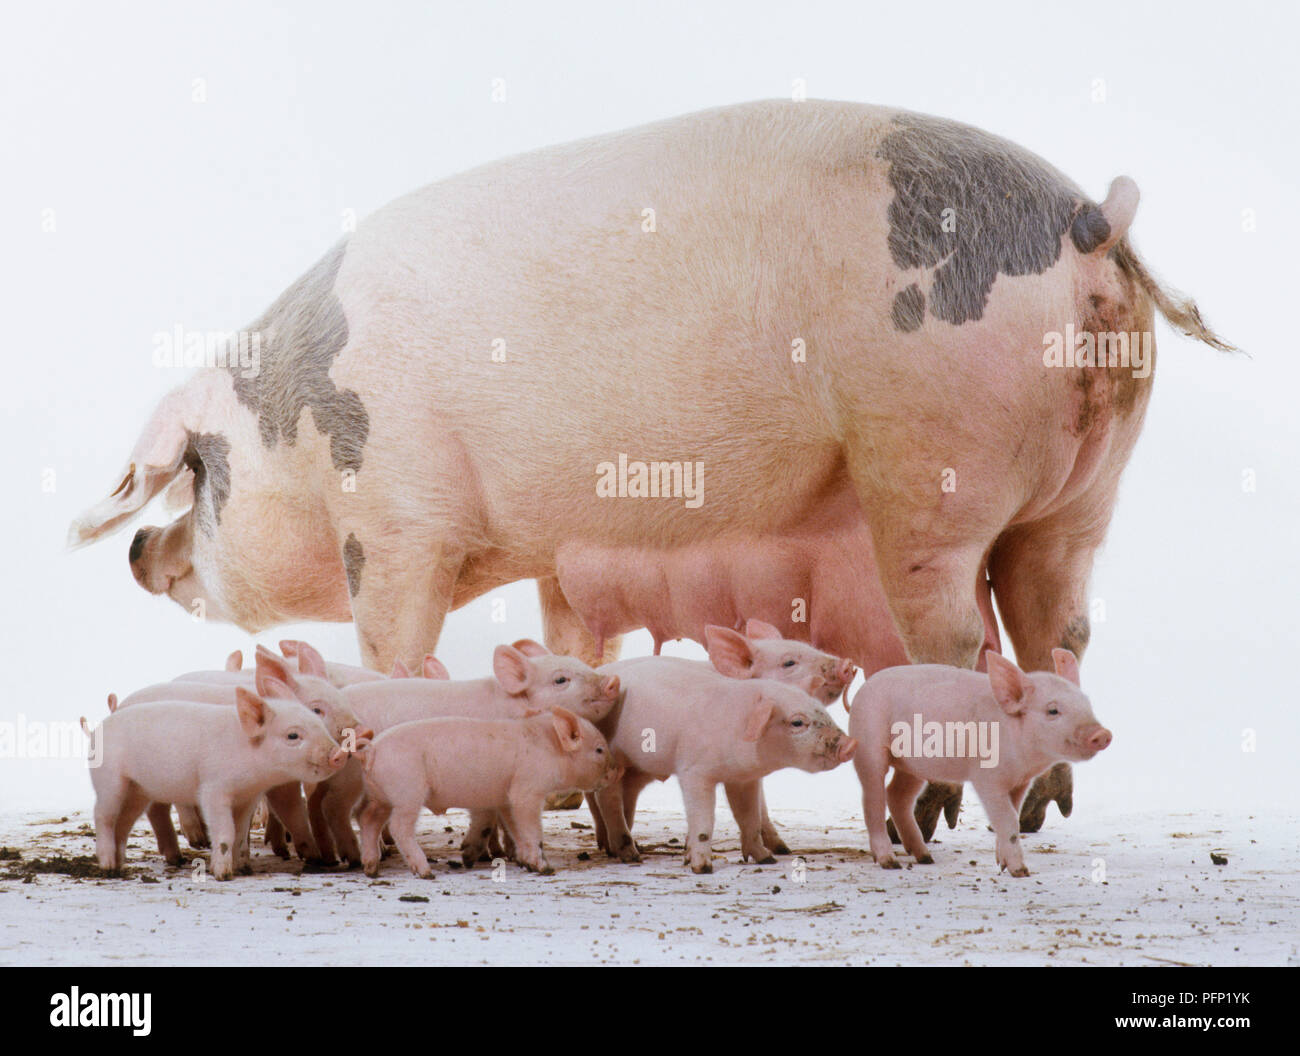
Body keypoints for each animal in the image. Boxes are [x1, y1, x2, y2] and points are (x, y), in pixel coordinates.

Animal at [69, 101, 1231, 836]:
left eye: (199, 471)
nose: (136, 551)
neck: (305, 429)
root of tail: (1092, 222)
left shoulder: (393, 519)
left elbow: (392, 645)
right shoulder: (561, 550)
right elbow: (575, 641)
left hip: (930, 471)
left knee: (955, 634)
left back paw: (948, 813)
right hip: (1087, 495)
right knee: (1058, 627)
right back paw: (1044, 805)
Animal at [85, 689, 348, 878]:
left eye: (320, 726)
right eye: (293, 735)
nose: (340, 754)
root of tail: (96, 731)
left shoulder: (248, 797)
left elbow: (240, 833)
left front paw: (241, 869)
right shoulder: (213, 789)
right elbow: (225, 832)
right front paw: (222, 874)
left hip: (138, 790)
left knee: (123, 823)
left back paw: (120, 866)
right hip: (109, 780)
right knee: (103, 816)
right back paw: (107, 867)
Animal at [358, 708, 616, 876]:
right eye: (599, 750)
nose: (617, 771)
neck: (551, 748)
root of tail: (372, 749)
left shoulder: (507, 799)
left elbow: (515, 829)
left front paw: (527, 864)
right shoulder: (527, 791)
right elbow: (532, 830)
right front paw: (546, 869)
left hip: (381, 797)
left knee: (369, 820)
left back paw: (371, 869)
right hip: (407, 793)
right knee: (398, 828)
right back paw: (426, 872)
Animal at [592, 656, 857, 873]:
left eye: (823, 712)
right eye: (797, 722)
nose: (850, 744)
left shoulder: (744, 779)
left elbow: (749, 818)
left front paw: (766, 859)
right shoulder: (693, 771)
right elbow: (703, 820)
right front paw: (702, 868)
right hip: (615, 756)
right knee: (607, 798)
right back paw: (630, 854)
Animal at [851, 648, 1110, 876]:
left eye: (1087, 704)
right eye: (1053, 710)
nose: (1103, 734)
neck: (1026, 758)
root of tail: (862, 690)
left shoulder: (1021, 782)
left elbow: (1012, 815)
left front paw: (1001, 864)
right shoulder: (987, 778)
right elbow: (1008, 819)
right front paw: (1020, 872)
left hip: (912, 766)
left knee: (897, 796)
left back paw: (925, 858)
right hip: (868, 744)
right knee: (873, 799)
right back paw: (890, 862)